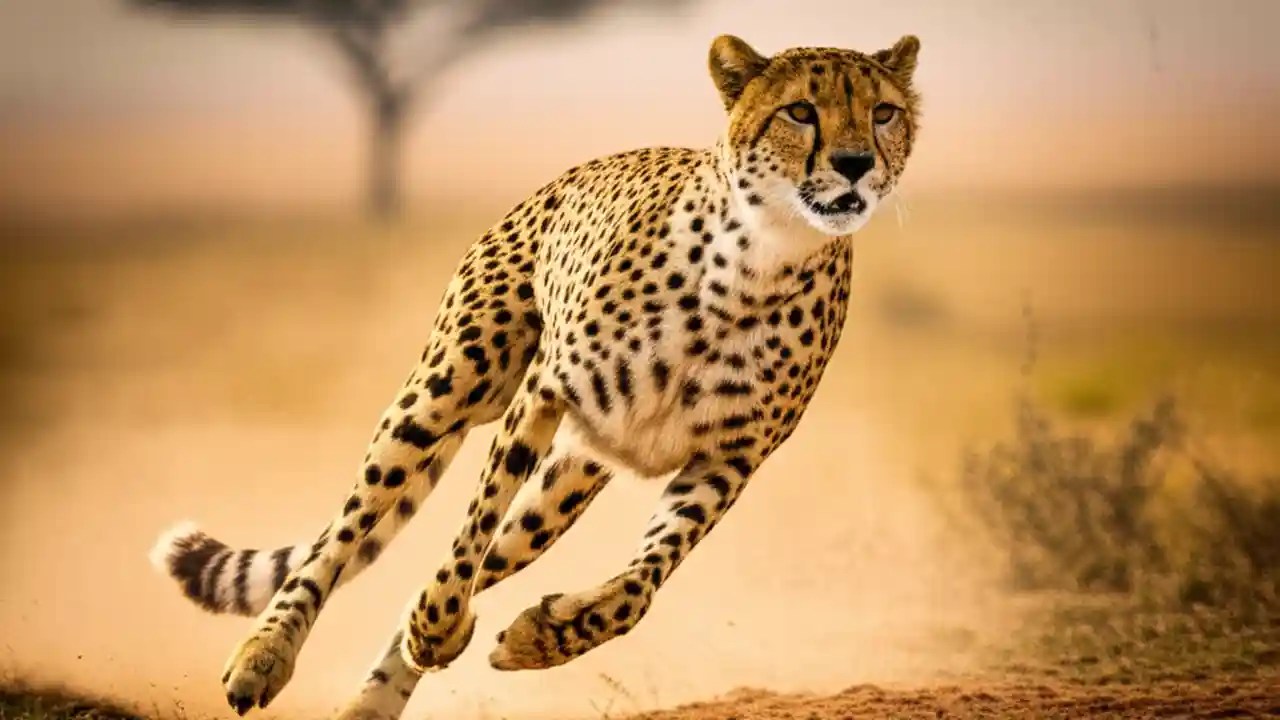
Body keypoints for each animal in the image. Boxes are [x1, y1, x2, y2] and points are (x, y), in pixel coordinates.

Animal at [150, 33, 922, 720]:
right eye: (801, 111)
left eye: (883, 113)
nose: (855, 163)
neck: (761, 263)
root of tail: (568, 174)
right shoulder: (545, 392)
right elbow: (465, 537)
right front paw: (438, 626)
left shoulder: (725, 462)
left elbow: (640, 586)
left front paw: (542, 635)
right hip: (441, 394)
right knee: (342, 537)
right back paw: (266, 656)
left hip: (570, 479)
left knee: (483, 552)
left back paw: (375, 700)